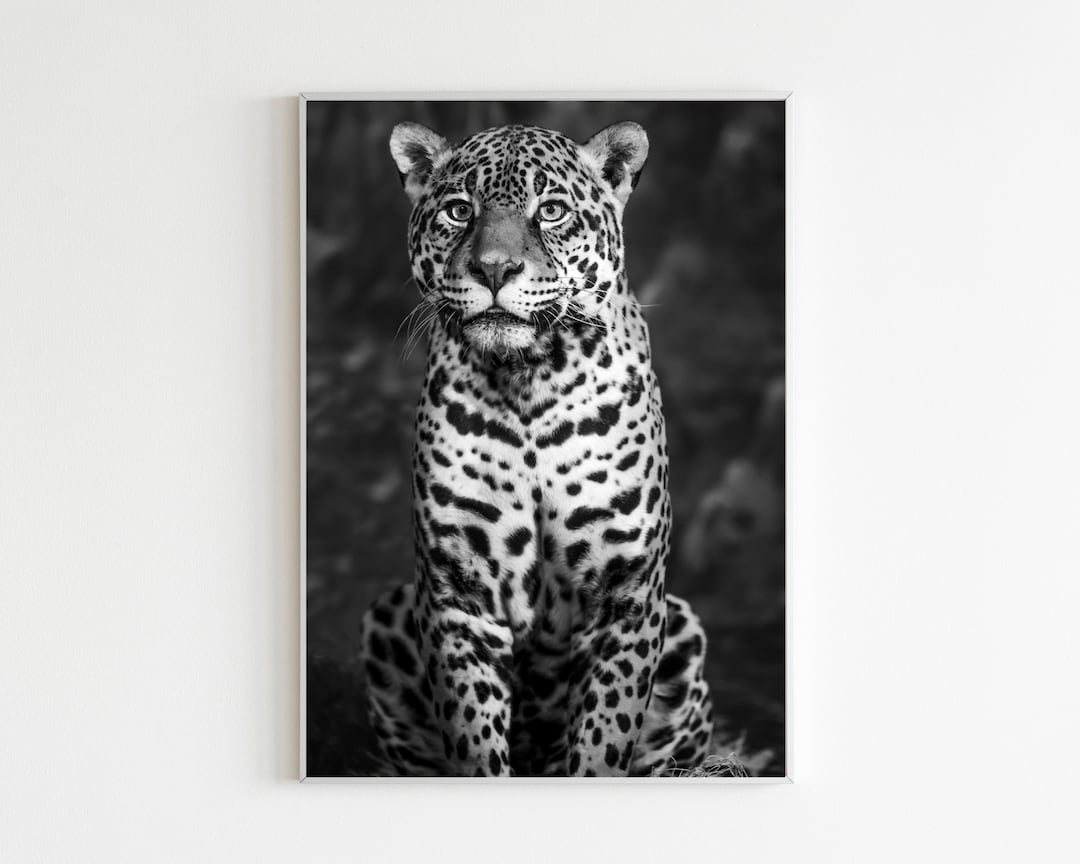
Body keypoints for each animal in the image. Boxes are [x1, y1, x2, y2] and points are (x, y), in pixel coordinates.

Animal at [359, 120, 714, 777]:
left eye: (551, 211)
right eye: (459, 210)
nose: (495, 270)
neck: (528, 381)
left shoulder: (627, 596)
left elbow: (605, 740)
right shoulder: (457, 594)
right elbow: (473, 741)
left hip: (682, 628)